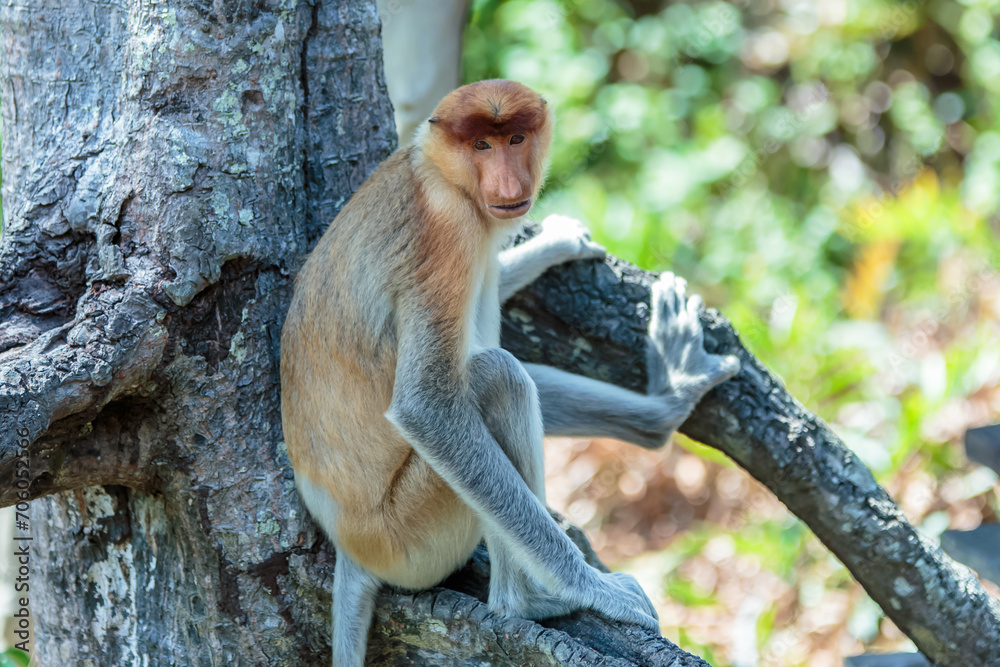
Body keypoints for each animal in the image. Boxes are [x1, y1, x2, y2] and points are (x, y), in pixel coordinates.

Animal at [280, 79, 740, 666]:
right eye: (482, 146)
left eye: (515, 139)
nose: (508, 183)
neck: (435, 171)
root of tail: (347, 546)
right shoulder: (448, 232)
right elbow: (426, 408)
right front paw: (595, 590)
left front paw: (558, 241)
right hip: (408, 538)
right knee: (495, 377)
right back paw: (525, 600)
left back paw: (667, 402)